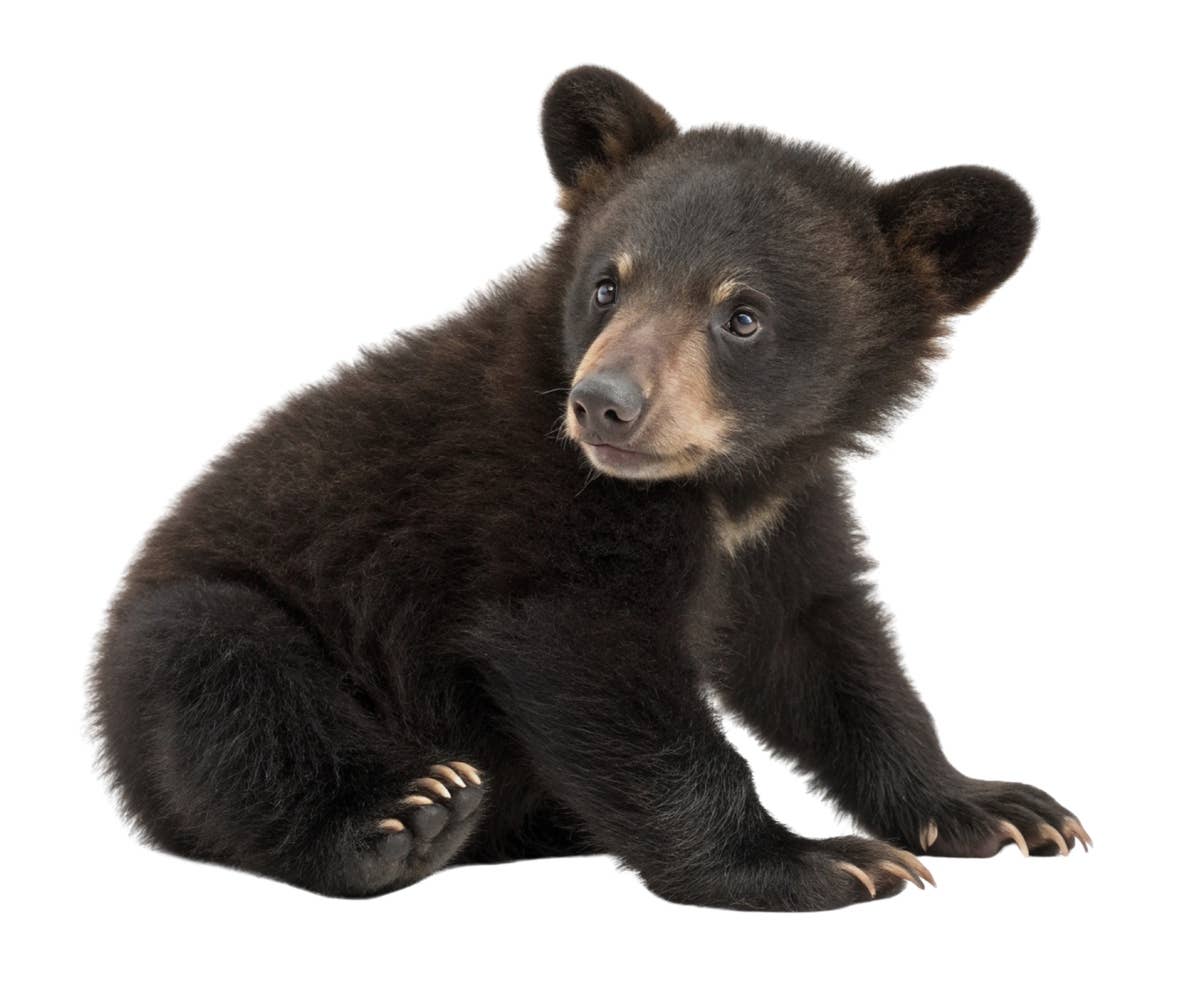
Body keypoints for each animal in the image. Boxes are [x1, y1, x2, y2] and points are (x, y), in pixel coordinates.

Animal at [90, 65, 1089, 911]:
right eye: (609, 285)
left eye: (743, 315)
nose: (603, 404)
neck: (717, 486)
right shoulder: (528, 495)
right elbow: (579, 648)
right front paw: (811, 860)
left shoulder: (783, 515)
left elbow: (822, 649)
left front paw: (992, 806)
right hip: (189, 641)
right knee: (228, 682)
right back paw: (407, 814)